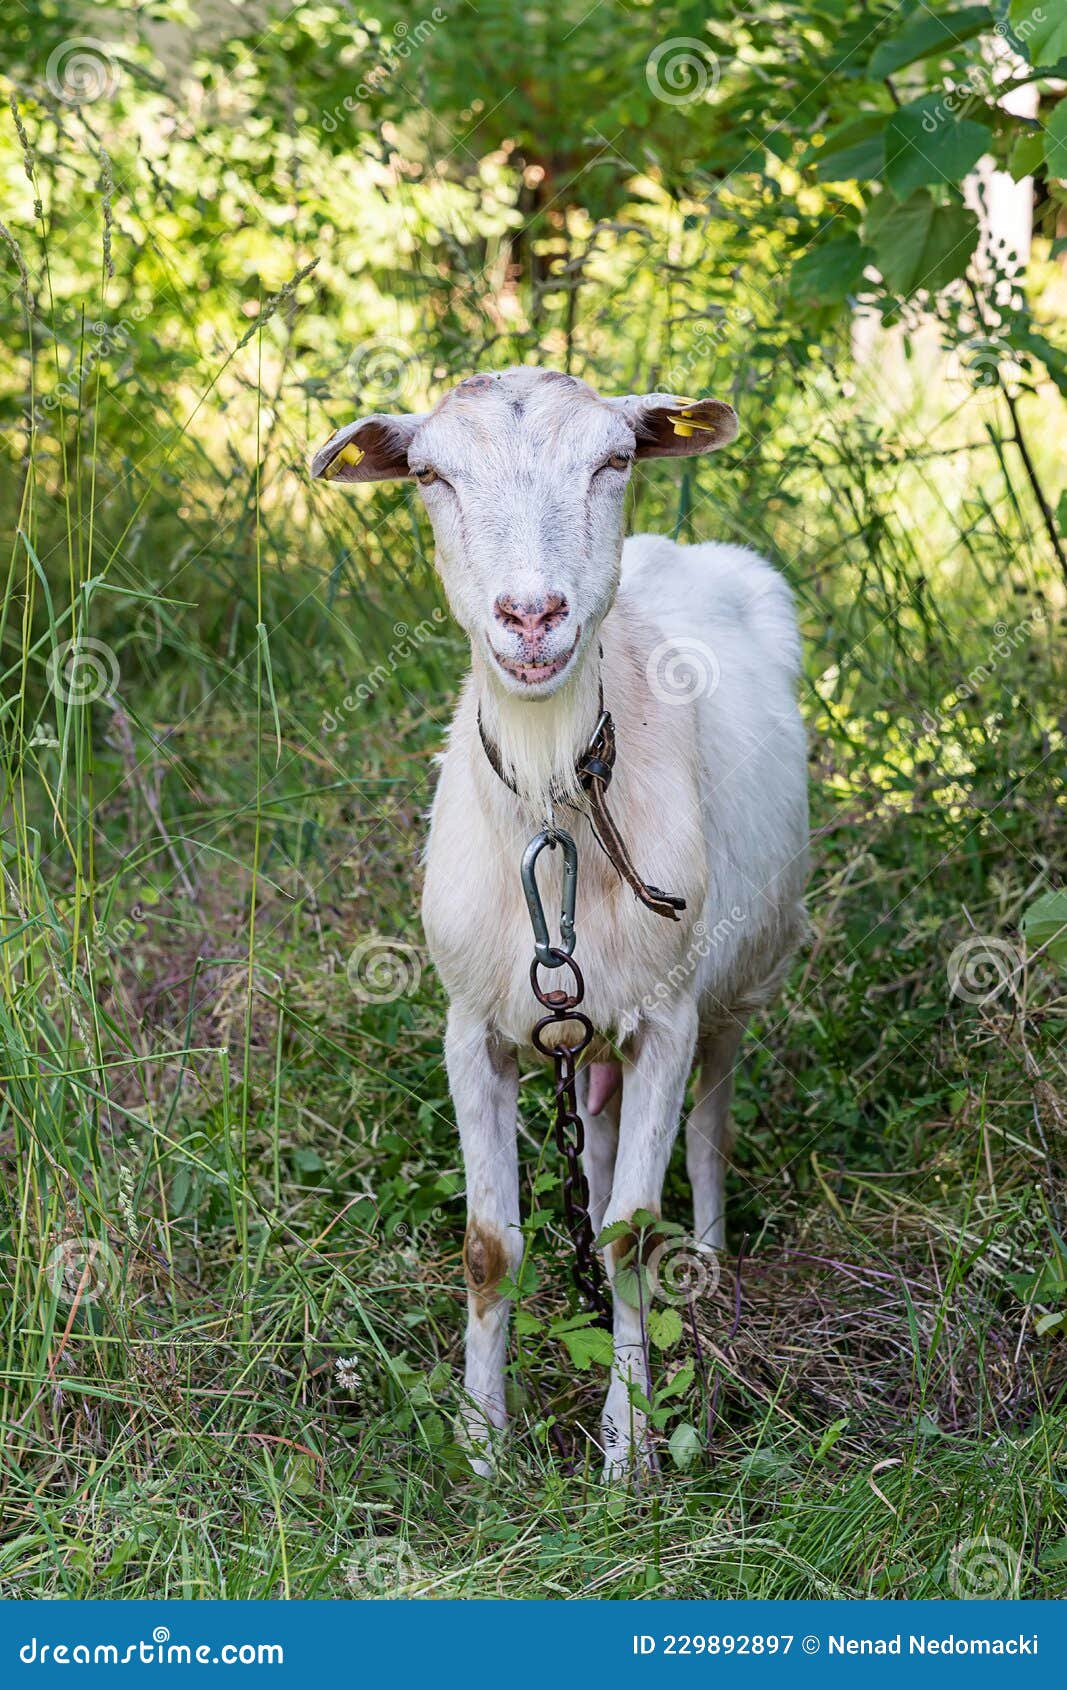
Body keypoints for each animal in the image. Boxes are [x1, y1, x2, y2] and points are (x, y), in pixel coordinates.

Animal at [312, 367, 808, 1475]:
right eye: (431, 475)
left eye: (613, 460)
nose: (531, 613)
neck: (551, 803)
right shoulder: (470, 1023)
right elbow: (488, 1243)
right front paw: (481, 1449)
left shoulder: (665, 1012)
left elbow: (627, 1238)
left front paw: (628, 1457)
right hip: (583, 1027)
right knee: (598, 1123)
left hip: (739, 980)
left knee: (708, 1119)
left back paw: (711, 1262)